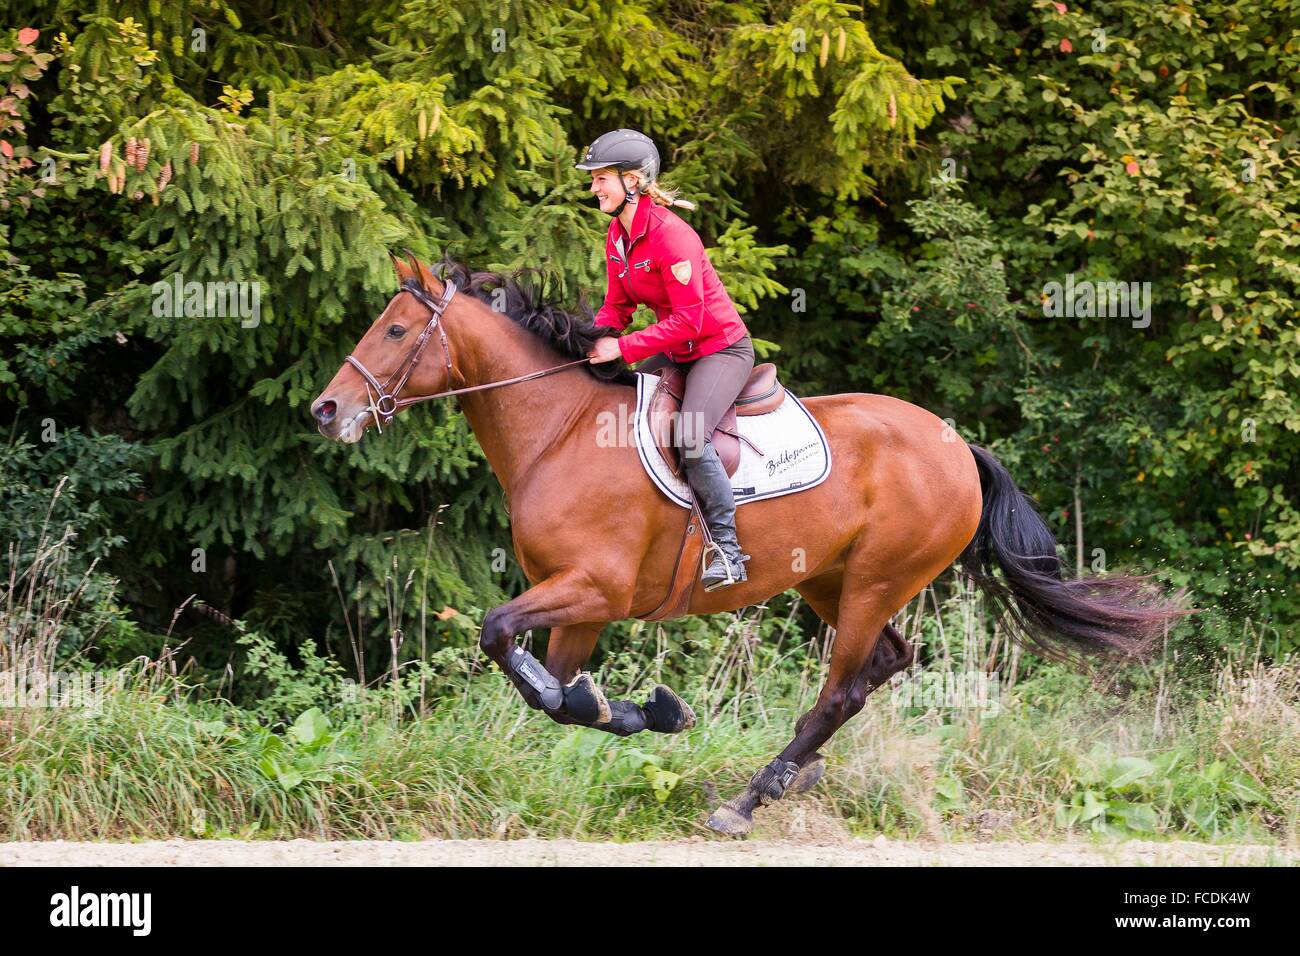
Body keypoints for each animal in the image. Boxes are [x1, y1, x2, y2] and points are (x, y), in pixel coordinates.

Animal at [311, 252, 1185, 836]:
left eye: (395, 329)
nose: (326, 410)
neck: (558, 429)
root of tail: (955, 445)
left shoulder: (593, 587)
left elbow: (501, 637)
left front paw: (646, 711)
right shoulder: (577, 606)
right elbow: (555, 693)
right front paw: (641, 711)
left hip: (875, 579)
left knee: (845, 687)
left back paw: (750, 797)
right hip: (828, 578)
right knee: (887, 662)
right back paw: (793, 773)